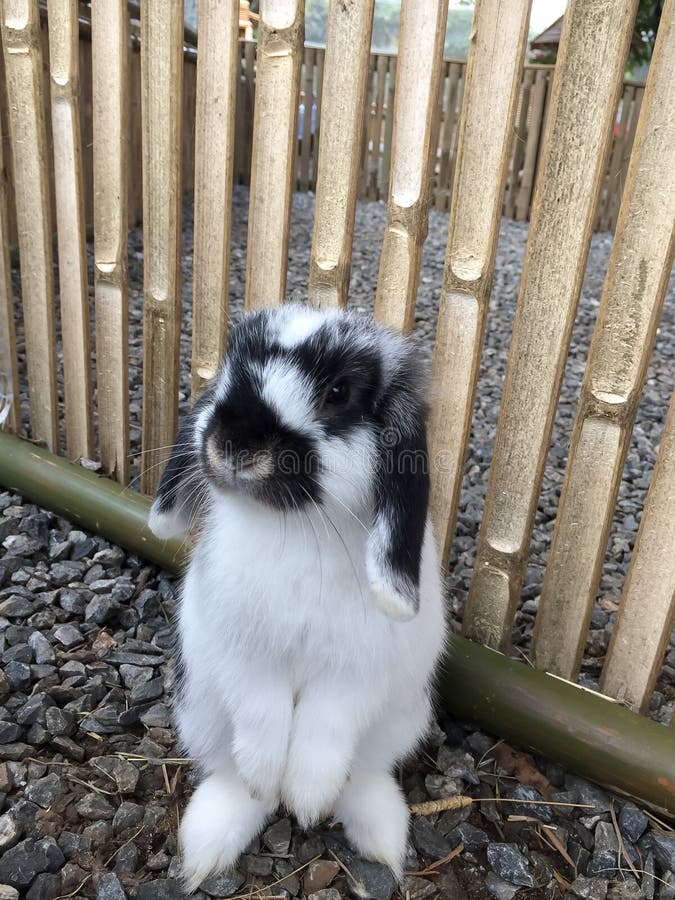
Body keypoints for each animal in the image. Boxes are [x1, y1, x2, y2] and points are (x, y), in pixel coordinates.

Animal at [148, 303, 447, 891]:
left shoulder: (354, 675)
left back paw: (381, 841)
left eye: (337, 392)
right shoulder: (243, 657)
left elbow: (323, 733)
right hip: (200, 711)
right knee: (234, 775)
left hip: (400, 719)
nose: (234, 443)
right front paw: (273, 781)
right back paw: (211, 844)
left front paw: (307, 800)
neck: (297, 530)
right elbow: (262, 718)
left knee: (362, 774)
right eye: (230, 365)